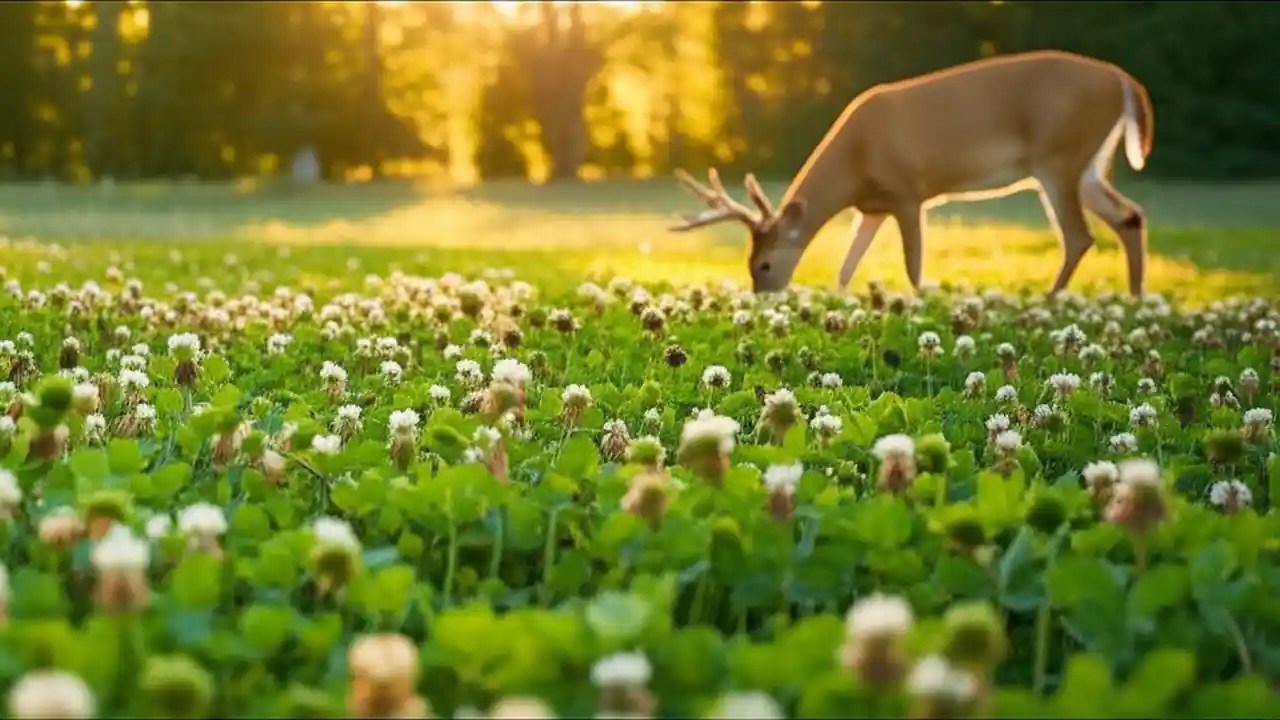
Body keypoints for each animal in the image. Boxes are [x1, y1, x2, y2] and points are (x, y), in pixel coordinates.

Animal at [669, 50, 1154, 297]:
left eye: (764, 264)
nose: (762, 295)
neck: (855, 163)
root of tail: (1124, 80)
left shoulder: (908, 192)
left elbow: (913, 265)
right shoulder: (872, 208)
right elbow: (846, 266)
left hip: (1058, 157)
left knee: (1079, 235)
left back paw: (1053, 300)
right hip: (1088, 164)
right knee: (1129, 216)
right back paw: (1134, 298)